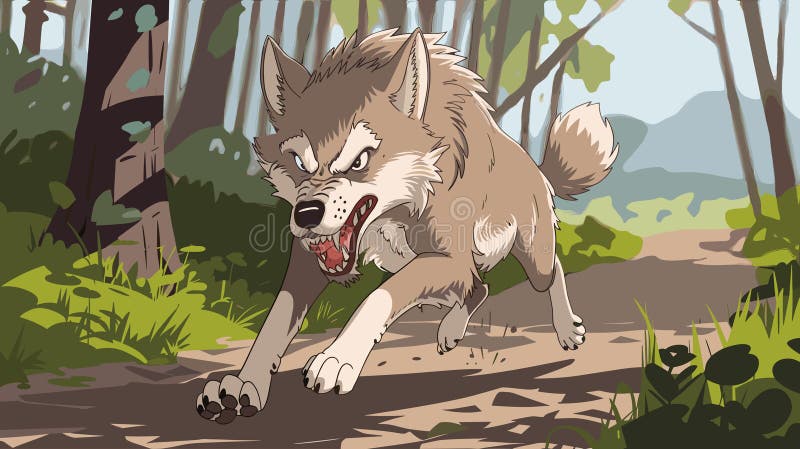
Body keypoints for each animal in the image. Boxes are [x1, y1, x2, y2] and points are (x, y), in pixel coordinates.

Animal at [196, 28, 617, 423]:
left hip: (531, 259)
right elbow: (275, 320)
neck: (400, 209)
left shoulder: (446, 259)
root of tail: (535, 164)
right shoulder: (310, 261)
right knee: (478, 288)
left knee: (551, 270)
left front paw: (338, 359)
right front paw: (244, 385)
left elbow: (379, 296)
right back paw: (451, 331)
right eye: (299, 162)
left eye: (360, 159)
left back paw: (567, 331)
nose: (306, 214)